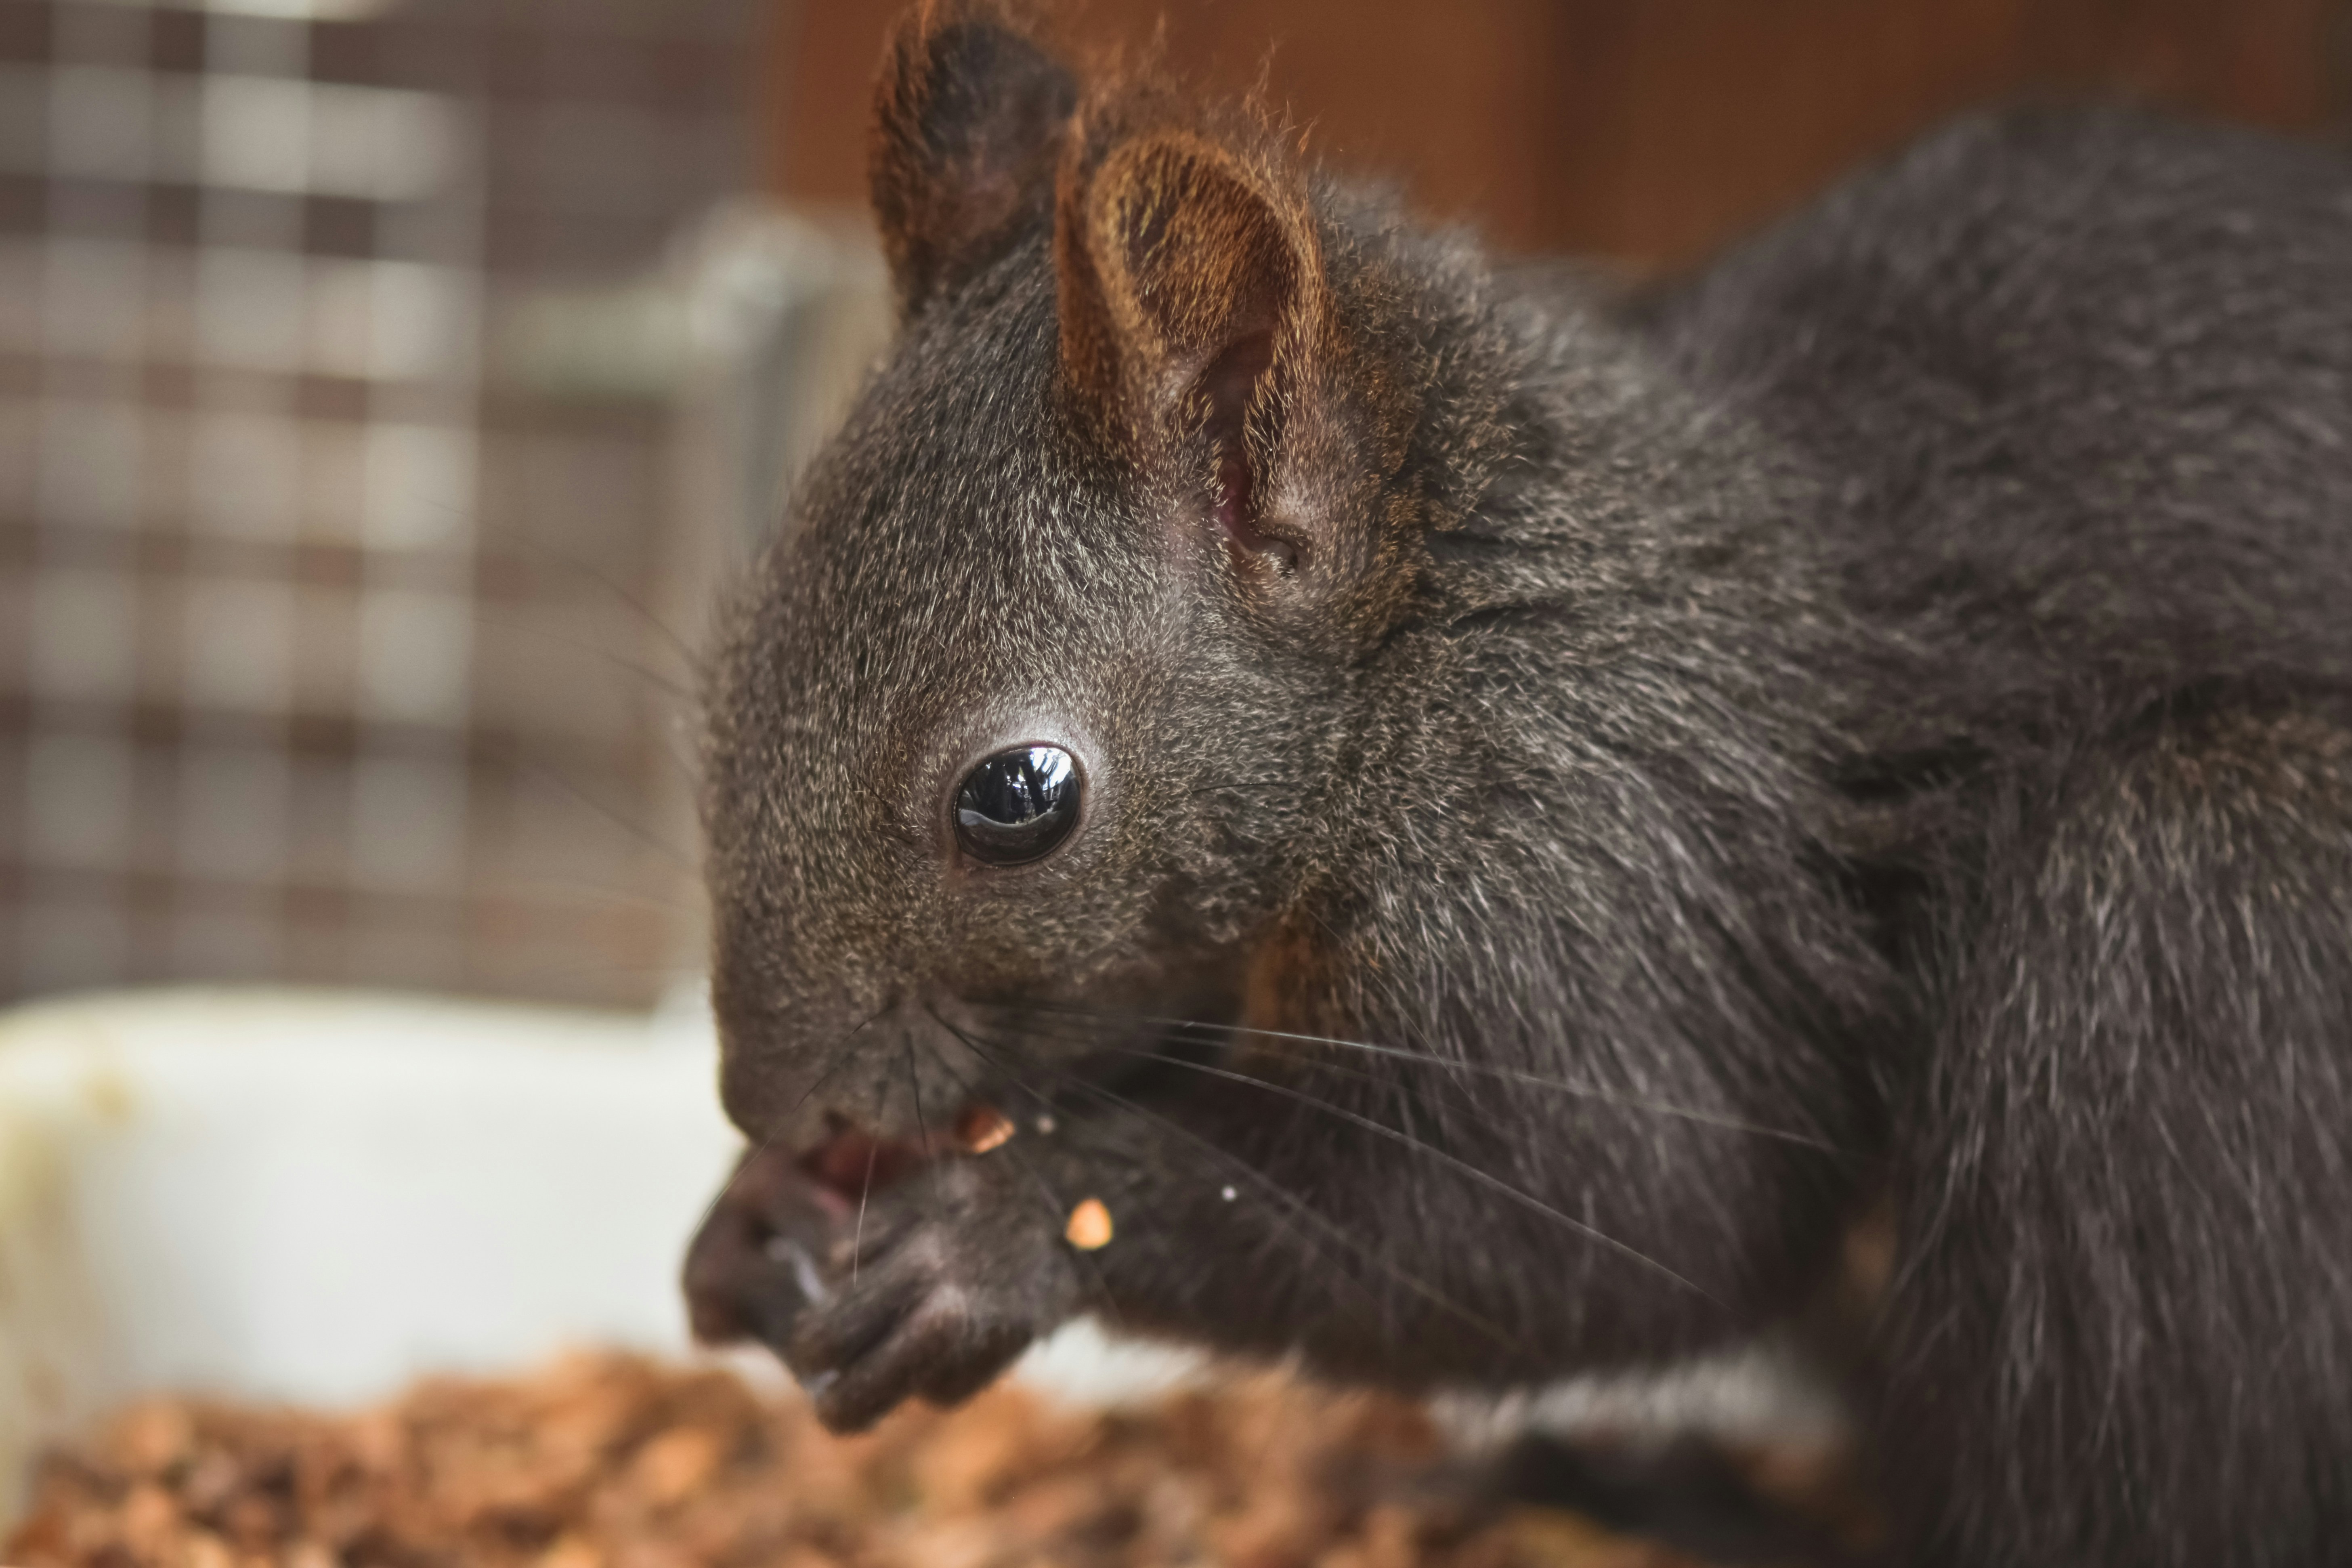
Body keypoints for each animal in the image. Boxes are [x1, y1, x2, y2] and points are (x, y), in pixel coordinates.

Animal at [681, 4, 2352, 1563]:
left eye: (1018, 796)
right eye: (736, 655)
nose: (765, 1099)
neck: (1446, 636)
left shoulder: (1613, 870)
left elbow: (1618, 1215)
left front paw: (1001, 1227)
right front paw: (755, 1220)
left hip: (2188, 901)